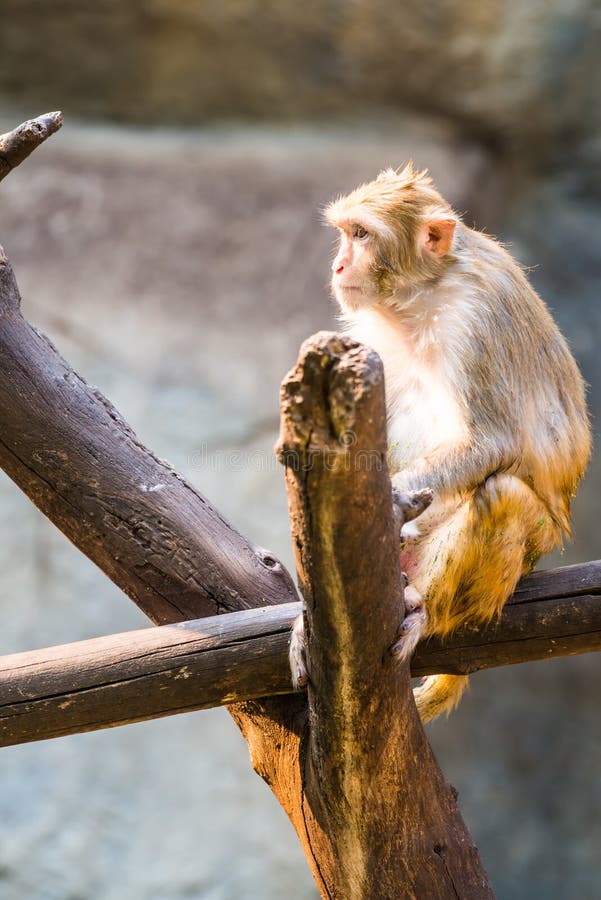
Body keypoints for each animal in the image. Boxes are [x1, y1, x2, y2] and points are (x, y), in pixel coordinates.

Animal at [289, 162, 591, 723]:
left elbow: (494, 441)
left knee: (502, 495)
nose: (339, 265)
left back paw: (425, 610)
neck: (422, 295)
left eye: (361, 235)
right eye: (345, 233)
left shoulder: (478, 316)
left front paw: (390, 501)